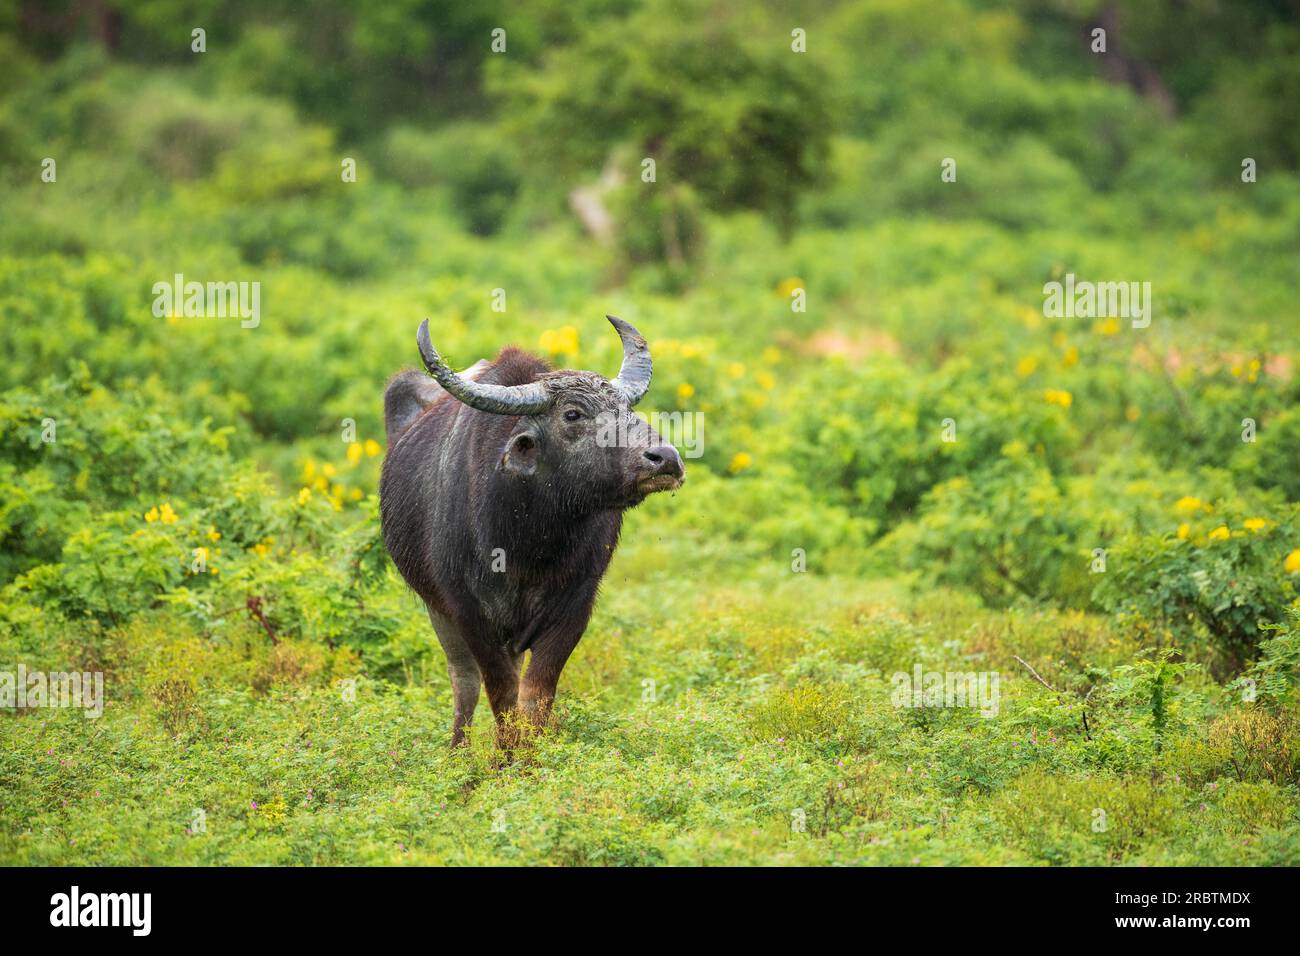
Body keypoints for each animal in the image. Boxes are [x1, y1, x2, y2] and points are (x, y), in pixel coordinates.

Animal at [380, 316, 684, 746]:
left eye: (626, 408)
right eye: (572, 414)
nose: (666, 458)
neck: (528, 542)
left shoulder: (574, 607)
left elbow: (535, 694)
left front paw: (530, 754)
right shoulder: (468, 611)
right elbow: (500, 692)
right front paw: (505, 756)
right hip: (436, 608)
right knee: (463, 680)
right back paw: (458, 750)